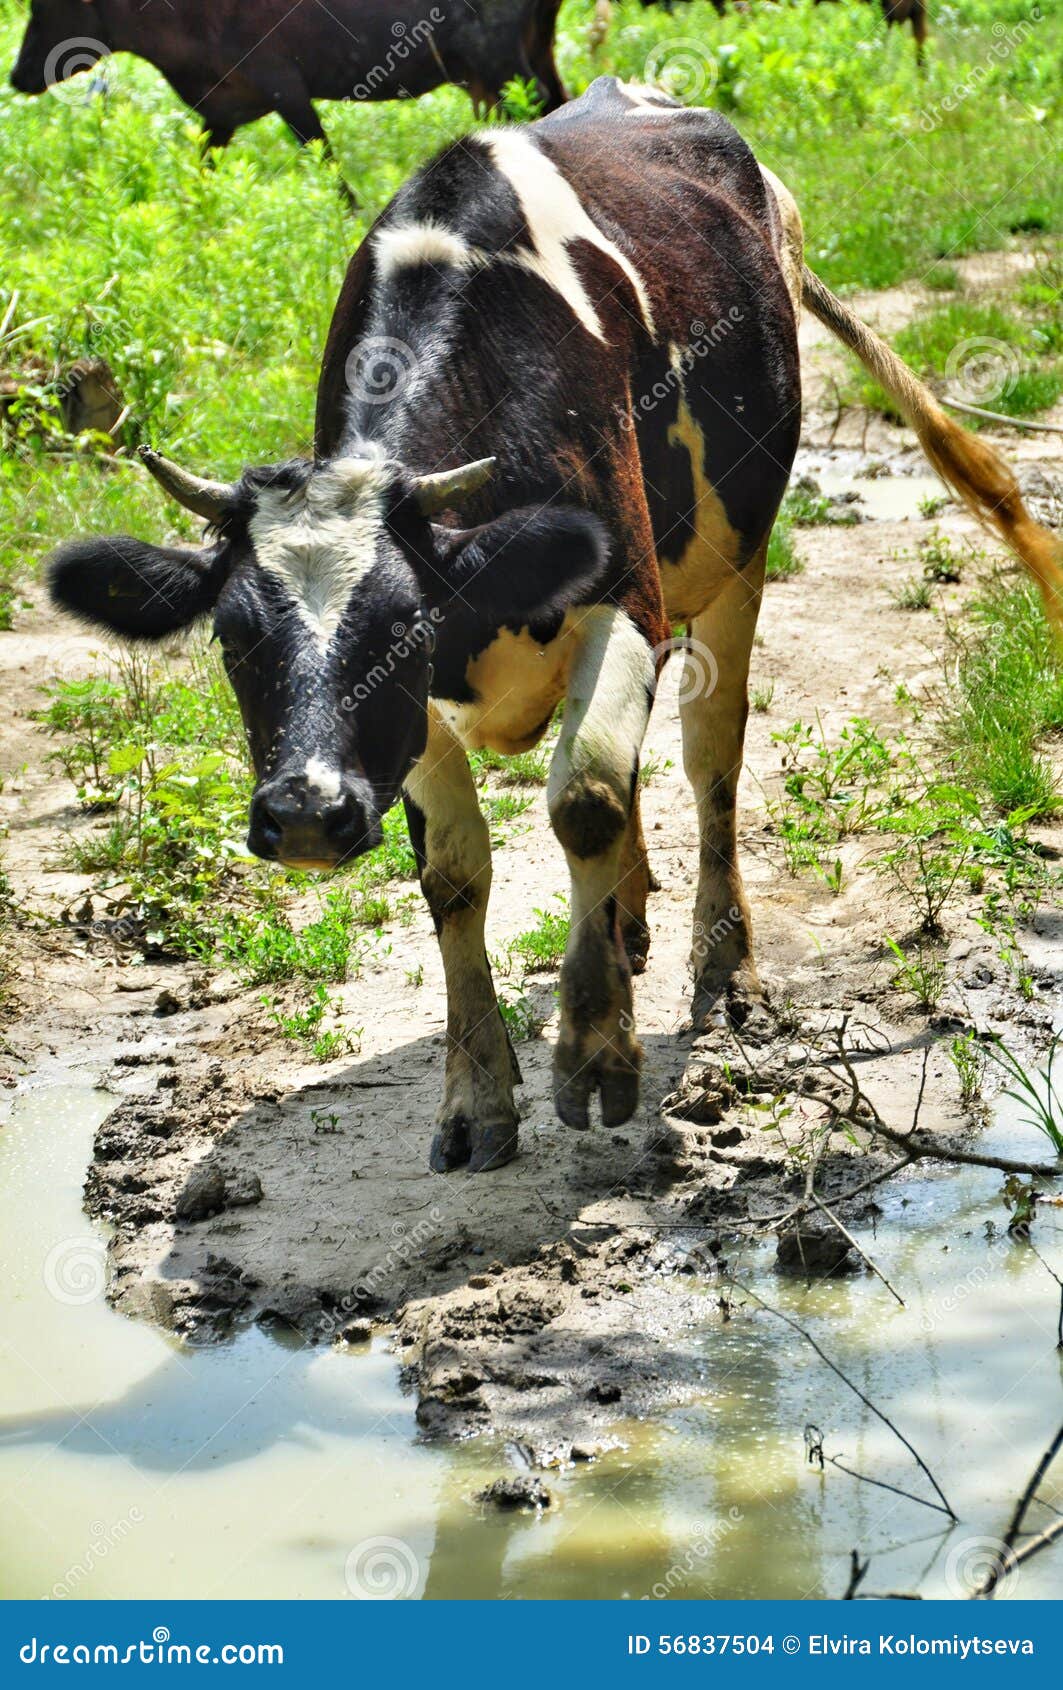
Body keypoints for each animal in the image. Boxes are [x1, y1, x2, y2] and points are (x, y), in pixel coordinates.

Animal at [9, 1, 566, 151]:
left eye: (42, 7)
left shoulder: (285, 87)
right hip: (530, 54)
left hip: (501, 60)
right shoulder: (224, 106)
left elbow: (328, 167)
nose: (15, 77)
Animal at [48, 79, 1061, 1174]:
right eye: (233, 637)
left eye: (405, 625)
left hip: (738, 552)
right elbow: (454, 873)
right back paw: (629, 917)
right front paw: (475, 1100)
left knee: (708, 757)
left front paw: (595, 1051)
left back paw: (721, 965)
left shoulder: (622, 600)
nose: (308, 815)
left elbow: (583, 798)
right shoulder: (415, 721)